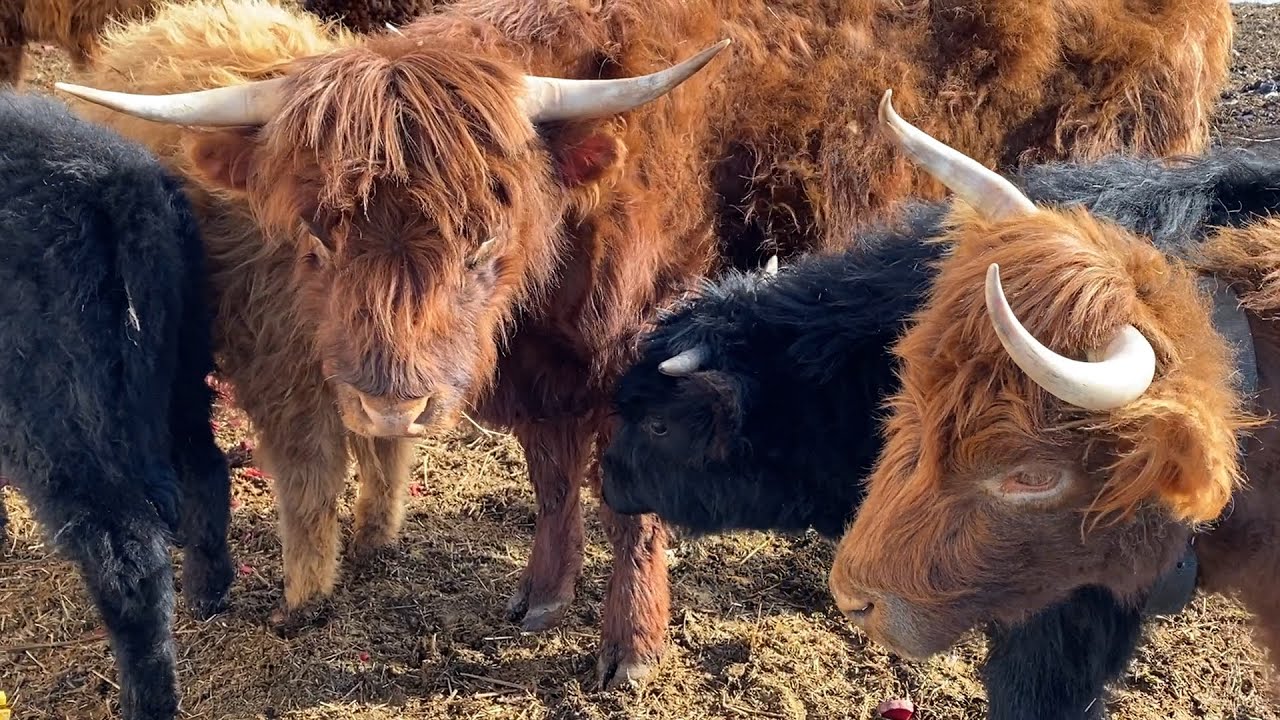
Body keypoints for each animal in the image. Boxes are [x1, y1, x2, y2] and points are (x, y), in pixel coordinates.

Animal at [0, 90, 233, 720]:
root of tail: (115, 179)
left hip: (61, 425)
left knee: (128, 563)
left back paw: (144, 702)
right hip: (182, 366)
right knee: (206, 467)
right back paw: (210, 591)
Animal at [53, 0, 1233, 687]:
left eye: (484, 240)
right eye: (316, 235)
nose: (391, 404)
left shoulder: (647, 358)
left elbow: (630, 505)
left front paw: (630, 649)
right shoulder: (540, 377)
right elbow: (550, 482)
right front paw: (540, 599)